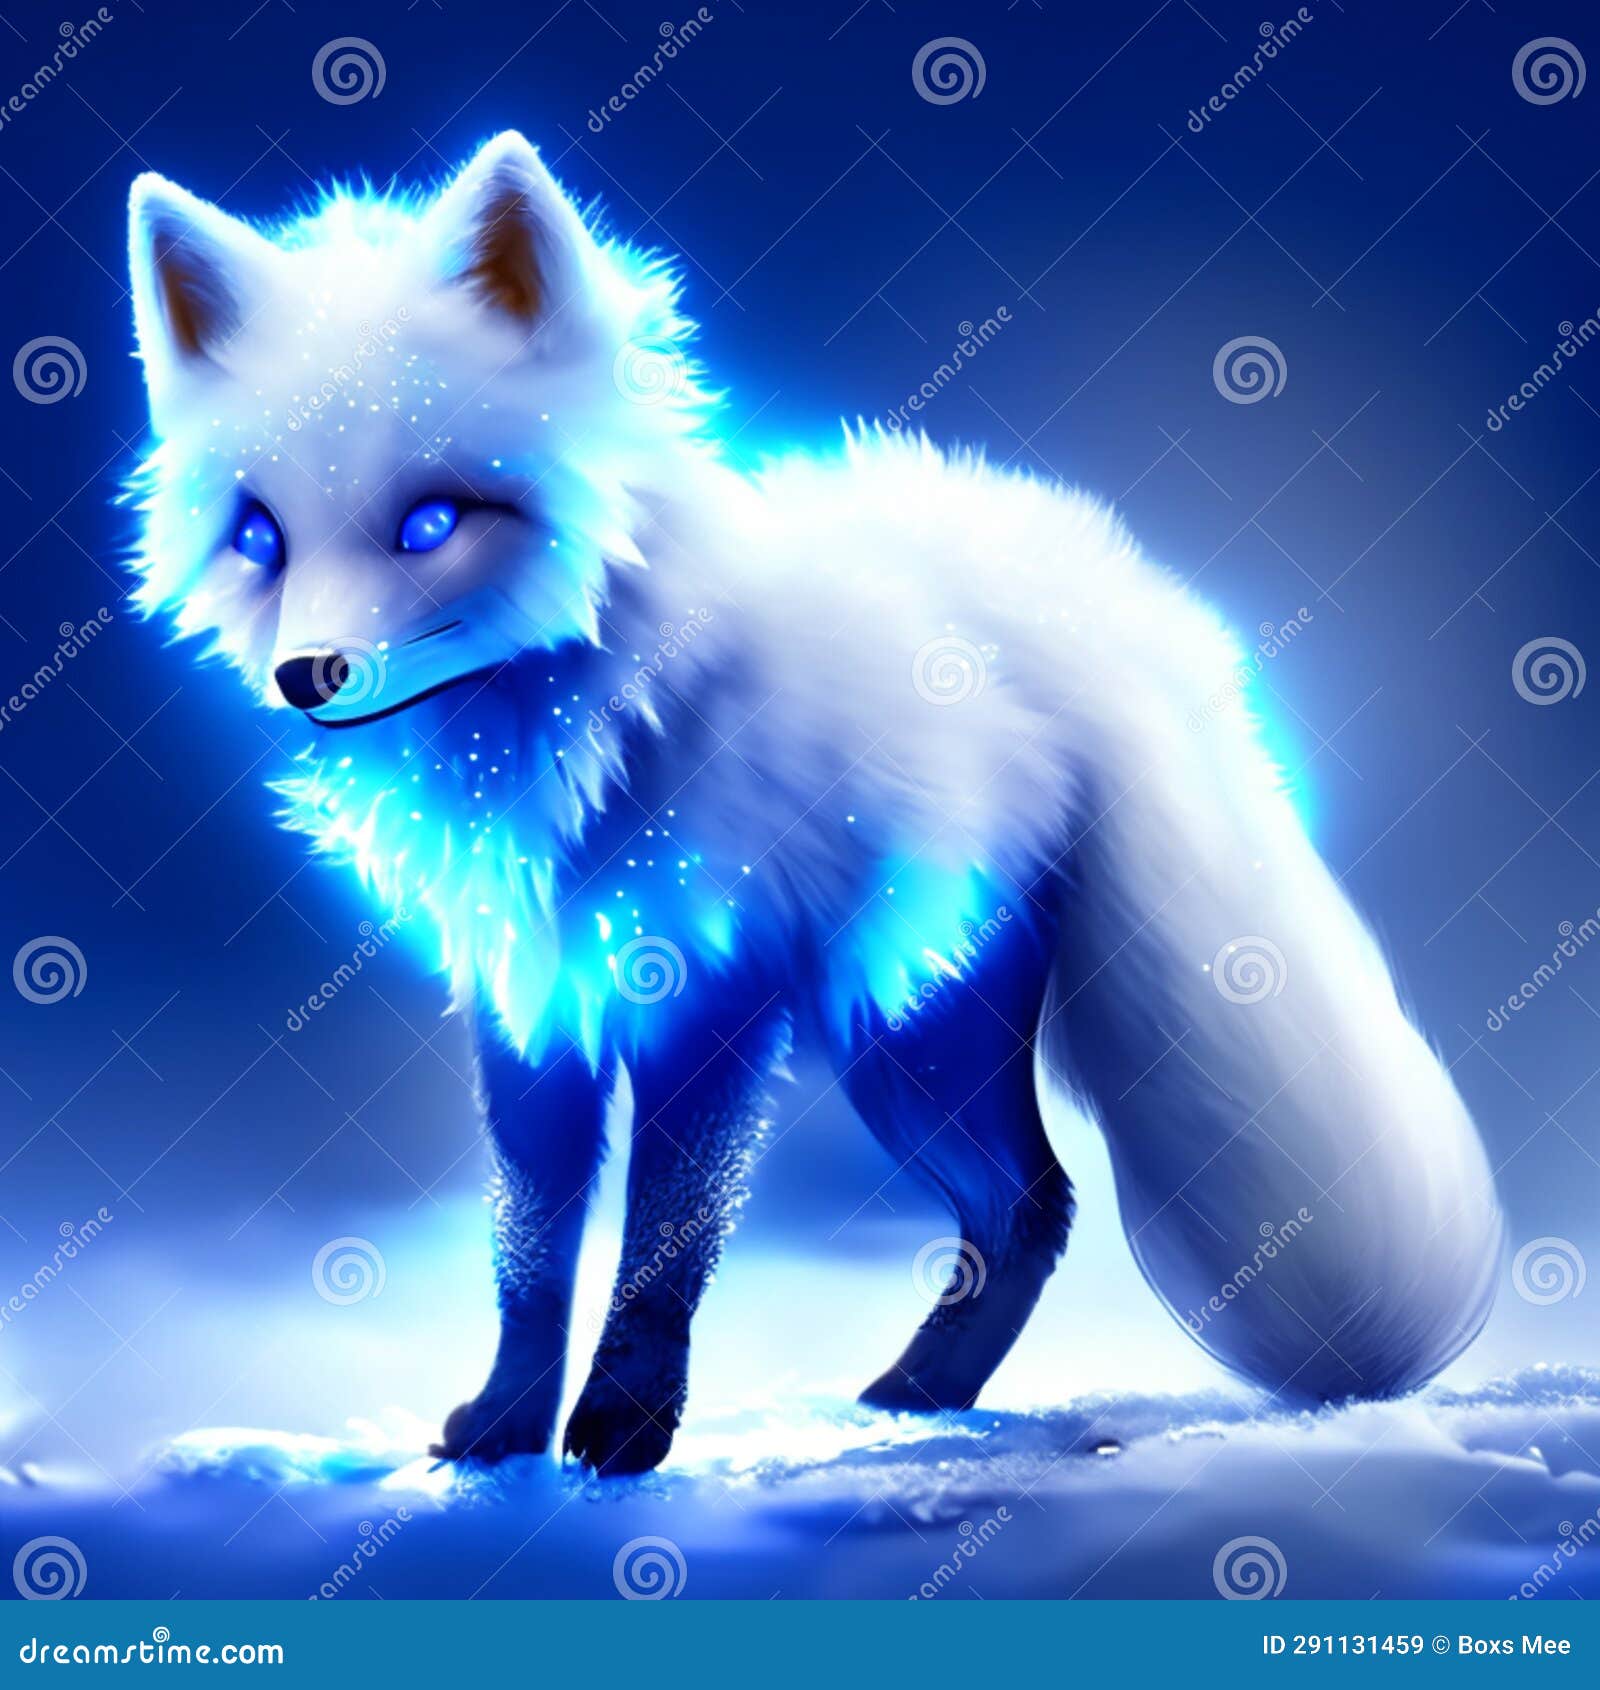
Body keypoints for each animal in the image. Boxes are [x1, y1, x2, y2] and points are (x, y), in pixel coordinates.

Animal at [123, 131, 1503, 1475]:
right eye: (260, 538)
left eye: (429, 522)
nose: (308, 675)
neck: (595, 724)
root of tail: (1102, 589)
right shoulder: (533, 1003)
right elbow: (530, 1251)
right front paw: (508, 1427)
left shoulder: (705, 997)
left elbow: (661, 1246)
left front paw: (623, 1427)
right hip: (896, 1038)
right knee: (1027, 1202)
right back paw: (920, 1396)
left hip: (904, 1023)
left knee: (1034, 1201)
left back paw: (918, 1396)